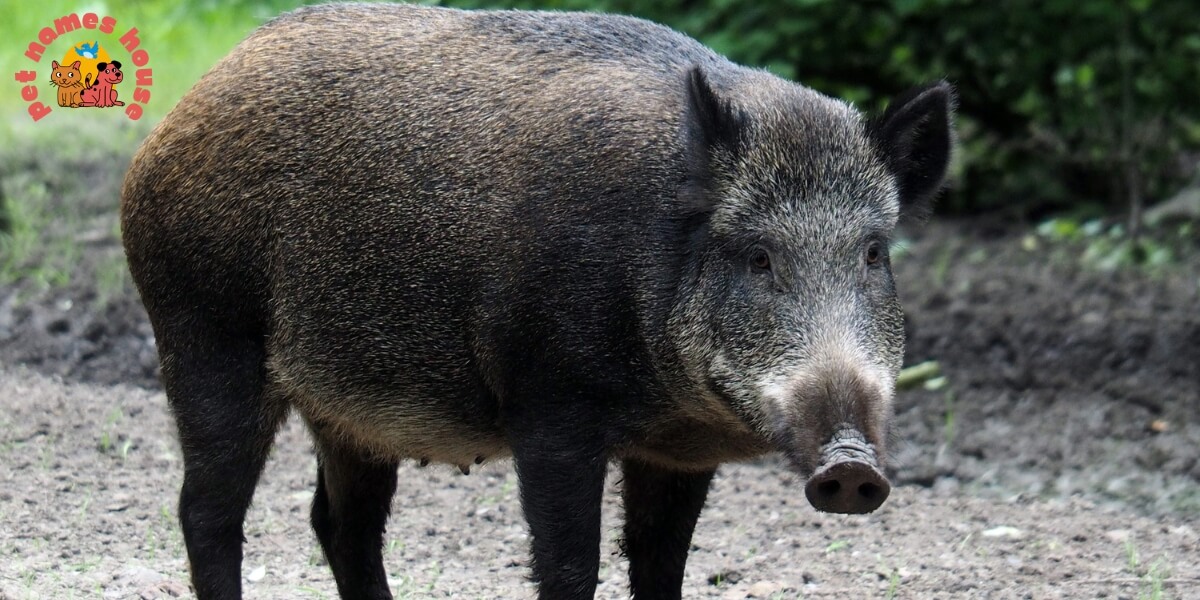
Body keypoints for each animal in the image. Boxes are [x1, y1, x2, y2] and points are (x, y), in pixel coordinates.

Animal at [120, 4, 953, 599]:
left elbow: (660, 566)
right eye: (757, 256)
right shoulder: (550, 406)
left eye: (873, 253)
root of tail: (177, 120)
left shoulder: (679, 453)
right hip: (203, 334)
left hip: (348, 409)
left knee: (341, 523)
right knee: (208, 512)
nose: (852, 467)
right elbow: (569, 566)